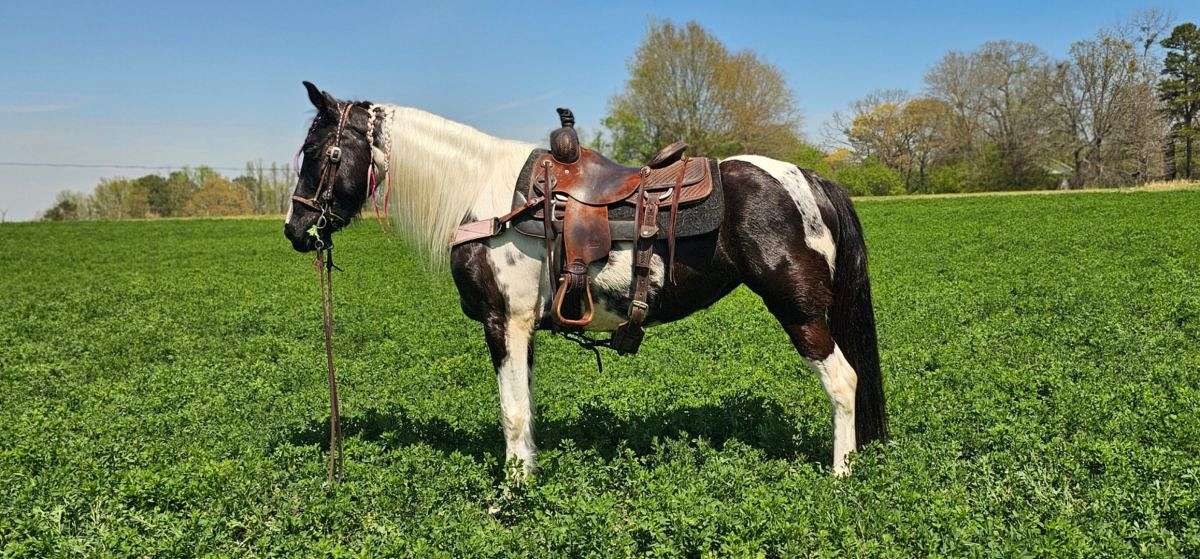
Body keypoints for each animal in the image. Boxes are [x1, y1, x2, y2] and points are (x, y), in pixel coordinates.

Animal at [283, 81, 887, 477]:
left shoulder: (504, 323)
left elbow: (512, 412)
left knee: (844, 382)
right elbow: (526, 410)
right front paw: (528, 477)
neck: (486, 197)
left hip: (800, 310)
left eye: (315, 152)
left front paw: (511, 497)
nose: (294, 228)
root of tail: (810, 180)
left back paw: (841, 476)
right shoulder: (523, 330)